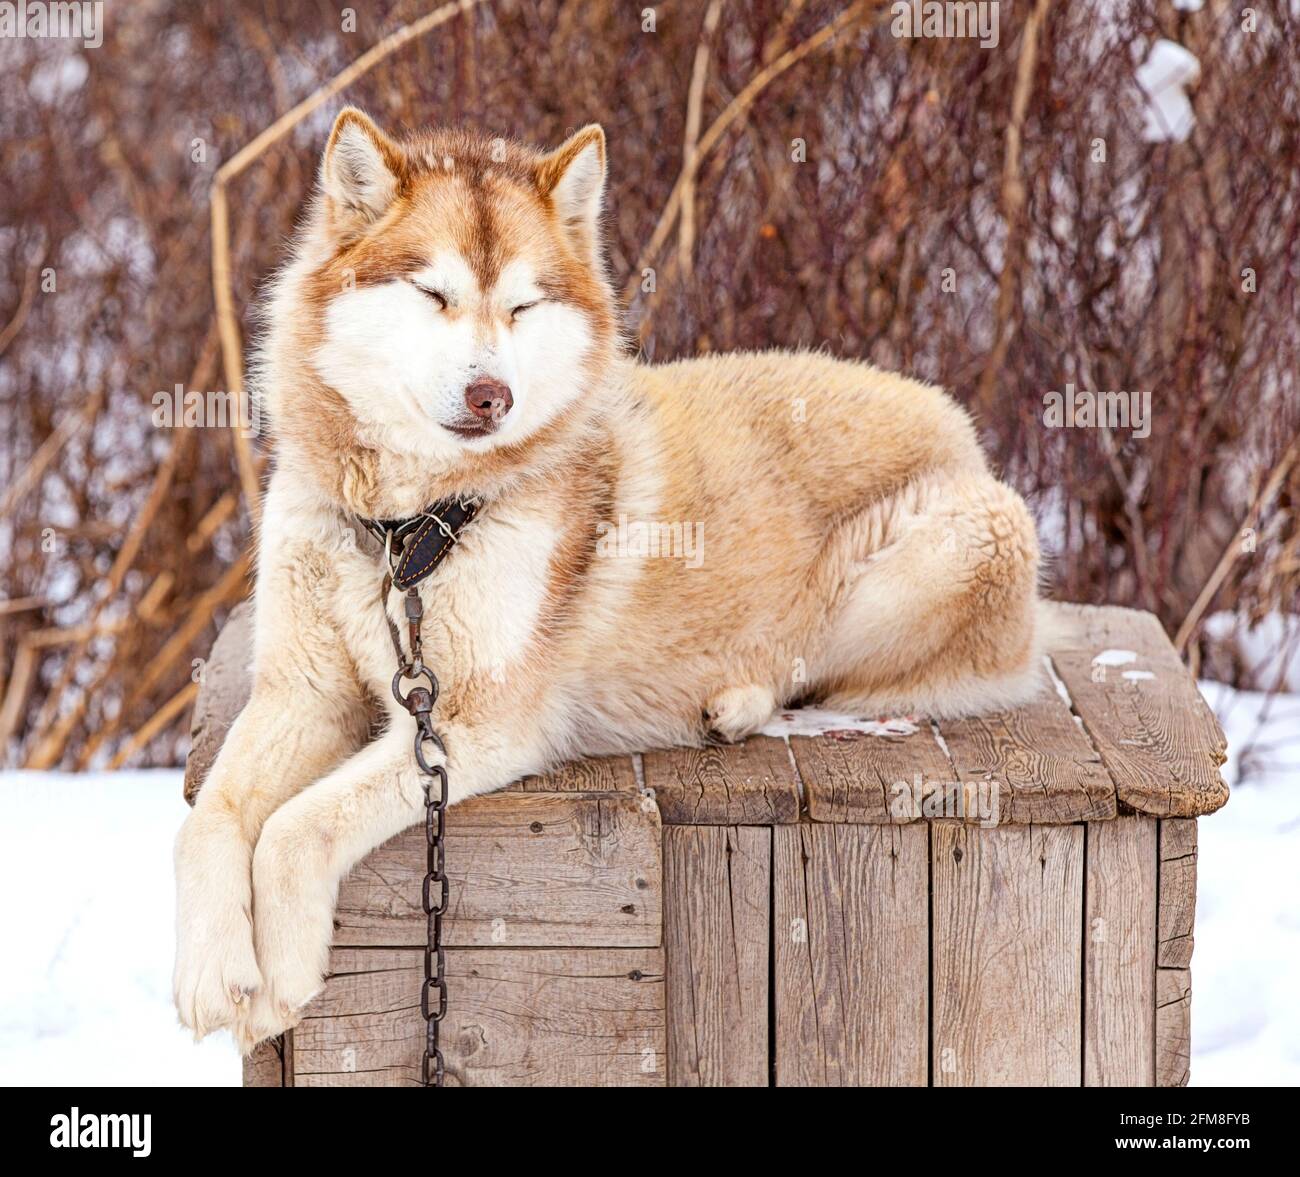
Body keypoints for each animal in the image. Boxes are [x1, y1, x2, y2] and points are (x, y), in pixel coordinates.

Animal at [173, 110, 1046, 1052]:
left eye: (523, 305)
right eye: (433, 294)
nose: (491, 395)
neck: (406, 529)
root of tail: (961, 425)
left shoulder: (475, 724)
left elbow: (296, 826)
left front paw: (280, 972)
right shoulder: (301, 694)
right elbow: (212, 814)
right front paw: (210, 970)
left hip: (944, 551)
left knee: (819, 670)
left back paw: (737, 700)